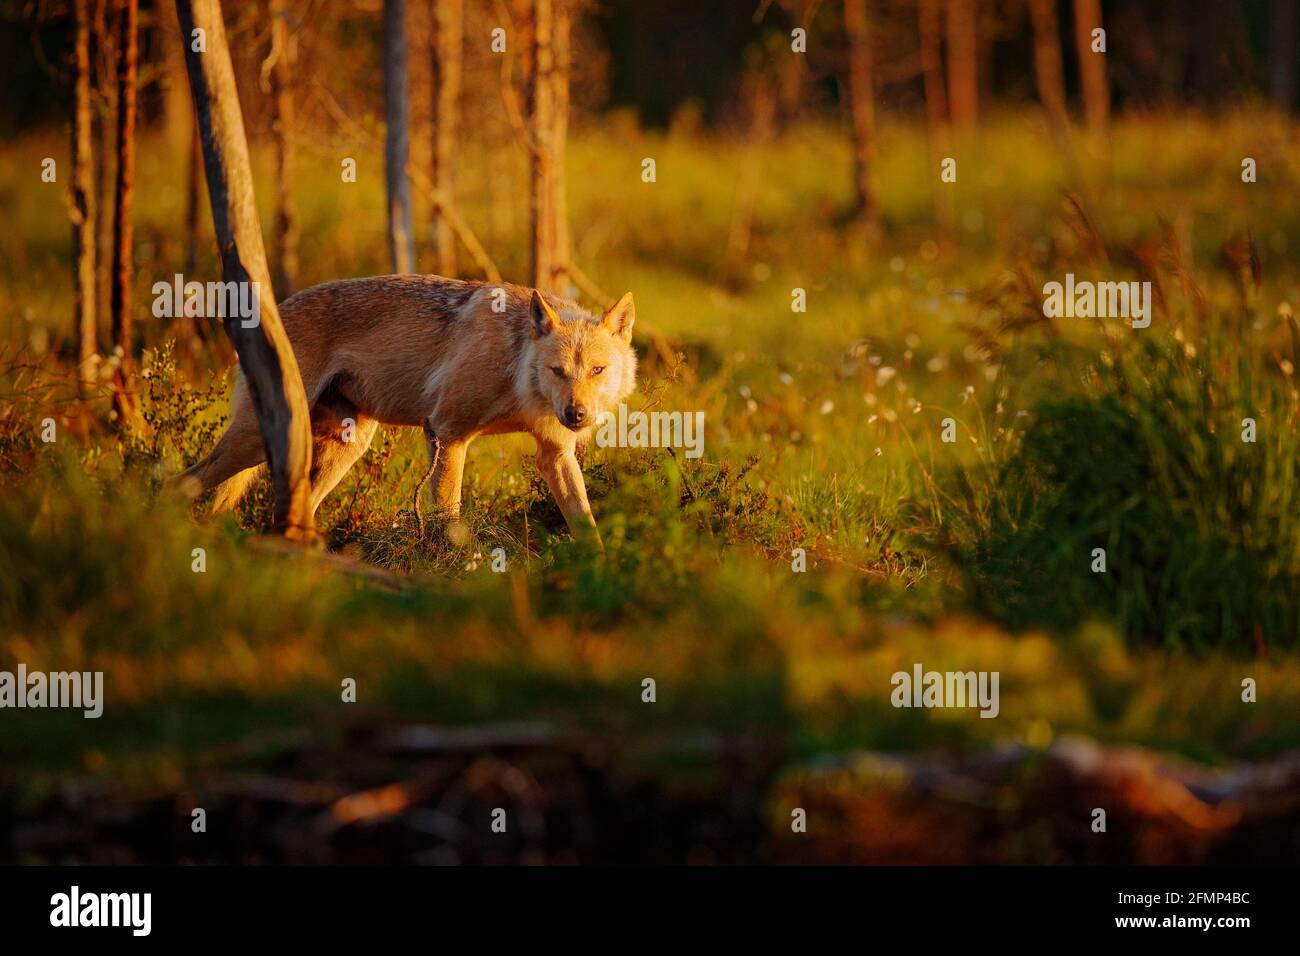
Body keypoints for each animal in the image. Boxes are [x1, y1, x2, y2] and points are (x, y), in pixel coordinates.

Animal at [175, 275, 638, 545]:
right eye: (558, 371)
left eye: (596, 370)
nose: (576, 415)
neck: (516, 370)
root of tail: (269, 314)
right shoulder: (449, 434)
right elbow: (449, 517)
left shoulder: (555, 454)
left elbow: (586, 522)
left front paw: (597, 572)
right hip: (255, 443)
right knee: (182, 482)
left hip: (343, 449)